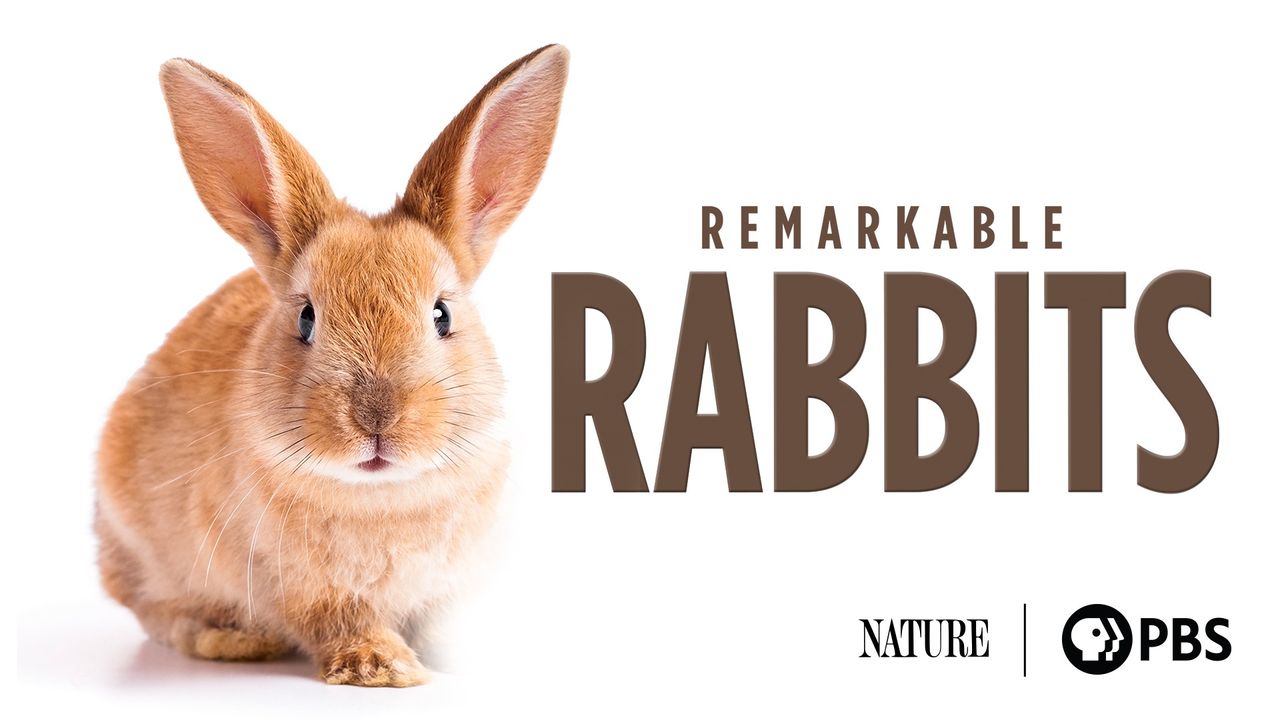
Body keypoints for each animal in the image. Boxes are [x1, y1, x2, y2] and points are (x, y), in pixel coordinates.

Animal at [94, 45, 568, 687]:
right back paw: (231, 638)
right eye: (306, 319)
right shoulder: (302, 587)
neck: (383, 496)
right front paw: (384, 668)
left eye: (442, 314)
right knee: (157, 610)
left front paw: (460, 655)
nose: (376, 418)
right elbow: (340, 621)